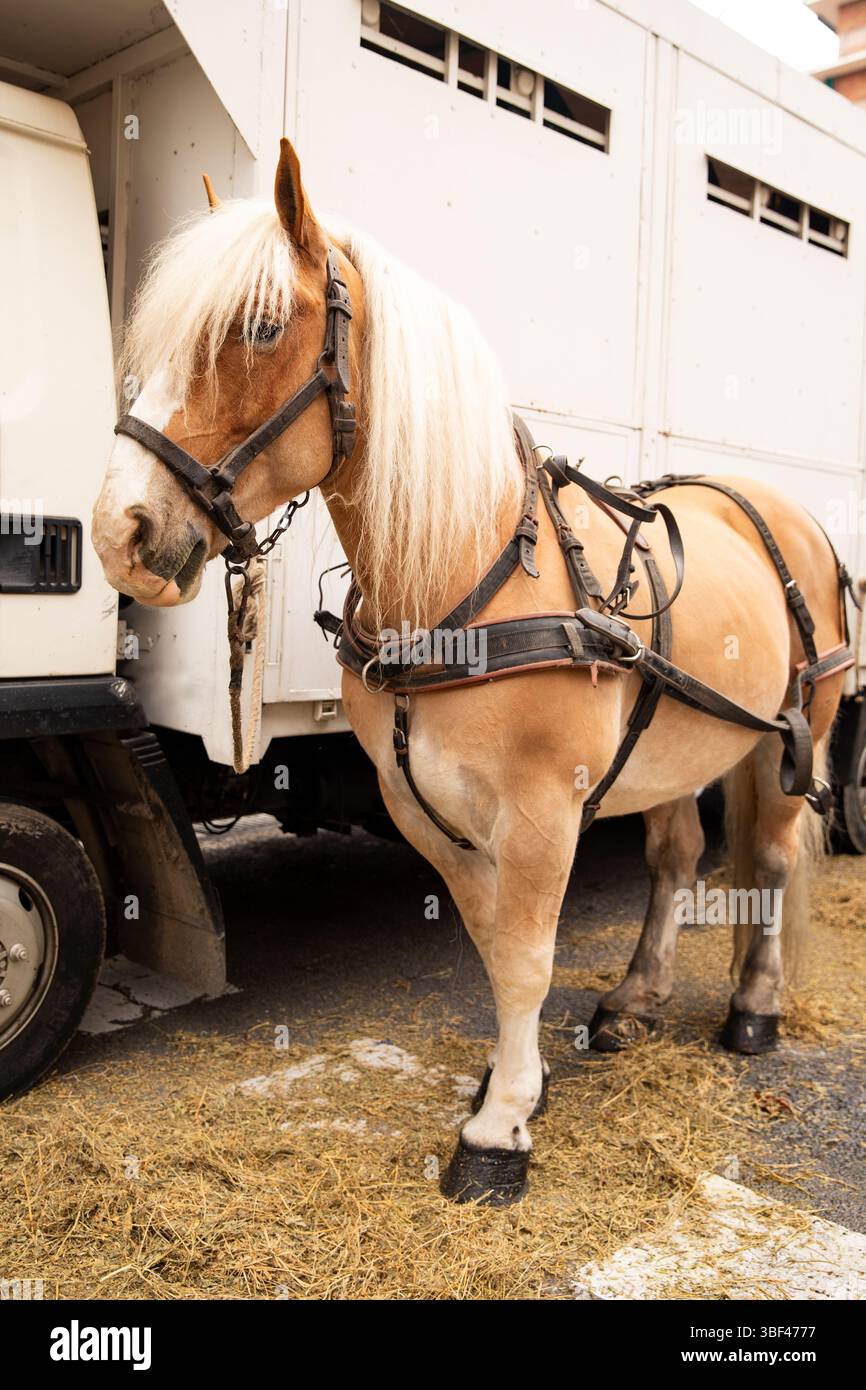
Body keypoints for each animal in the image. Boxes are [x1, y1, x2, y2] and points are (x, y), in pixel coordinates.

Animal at [92, 138, 850, 1206]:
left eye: (262, 327)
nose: (123, 532)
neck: (466, 581)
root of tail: (781, 513)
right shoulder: (423, 806)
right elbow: (494, 946)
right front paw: (514, 1081)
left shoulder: (542, 809)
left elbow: (526, 958)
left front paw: (499, 1132)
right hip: (673, 747)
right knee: (674, 861)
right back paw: (634, 998)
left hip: (799, 735)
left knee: (775, 863)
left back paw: (754, 1007)